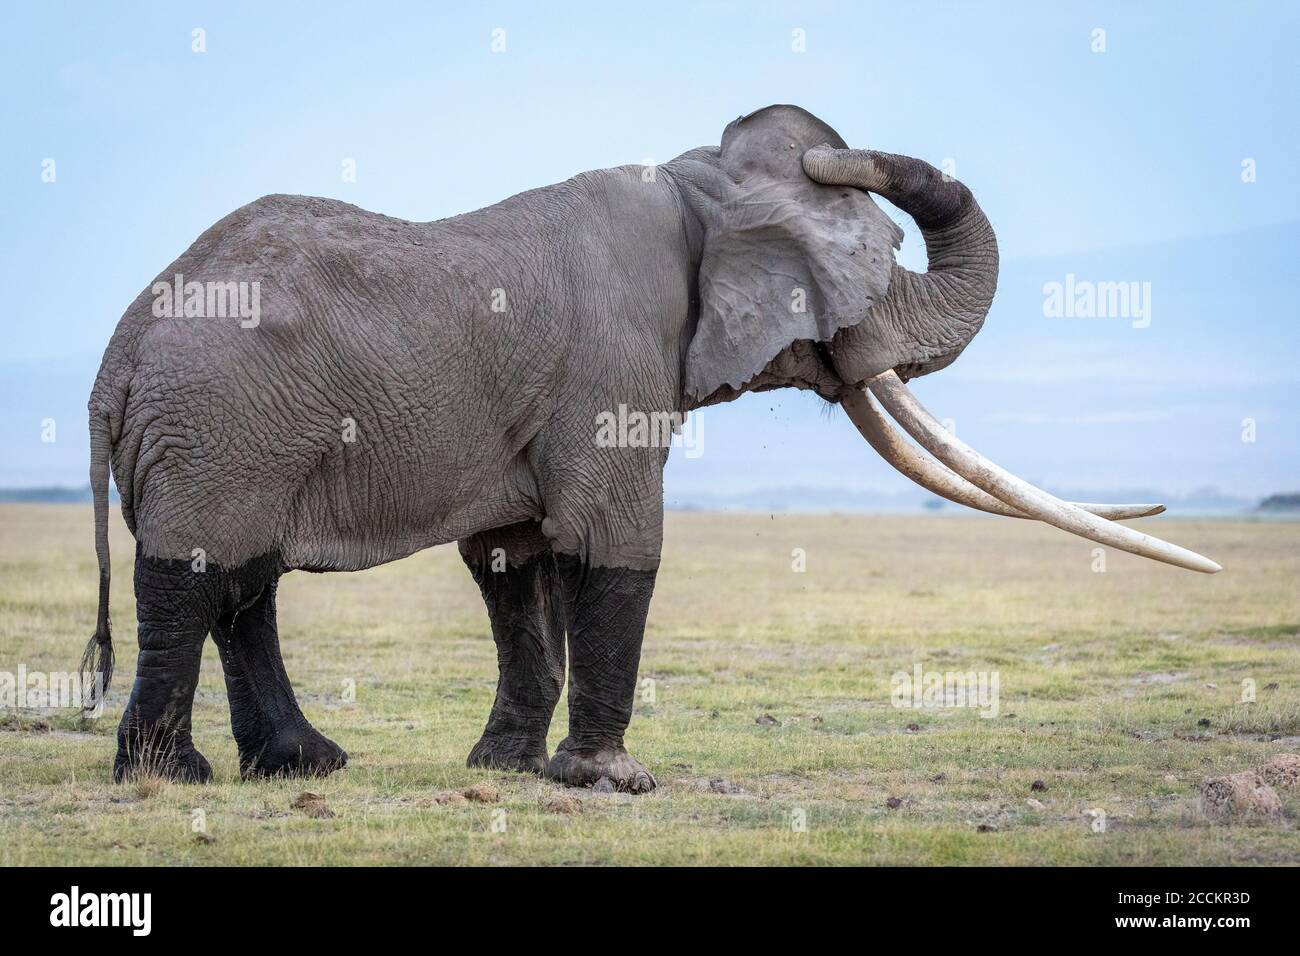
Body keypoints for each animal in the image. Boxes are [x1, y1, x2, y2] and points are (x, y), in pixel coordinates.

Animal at [81, 105, 1218, 790]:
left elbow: (512, 558)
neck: (692, 185)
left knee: (244, 582)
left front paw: (506, 771)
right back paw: (170, 778)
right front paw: (611, 782)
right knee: (200, 573)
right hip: (223, 423)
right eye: (873, 257)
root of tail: (119, 353)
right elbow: (611, 537)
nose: (826, 145)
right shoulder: (613, 359)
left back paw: (304, 766)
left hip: (226, 428)